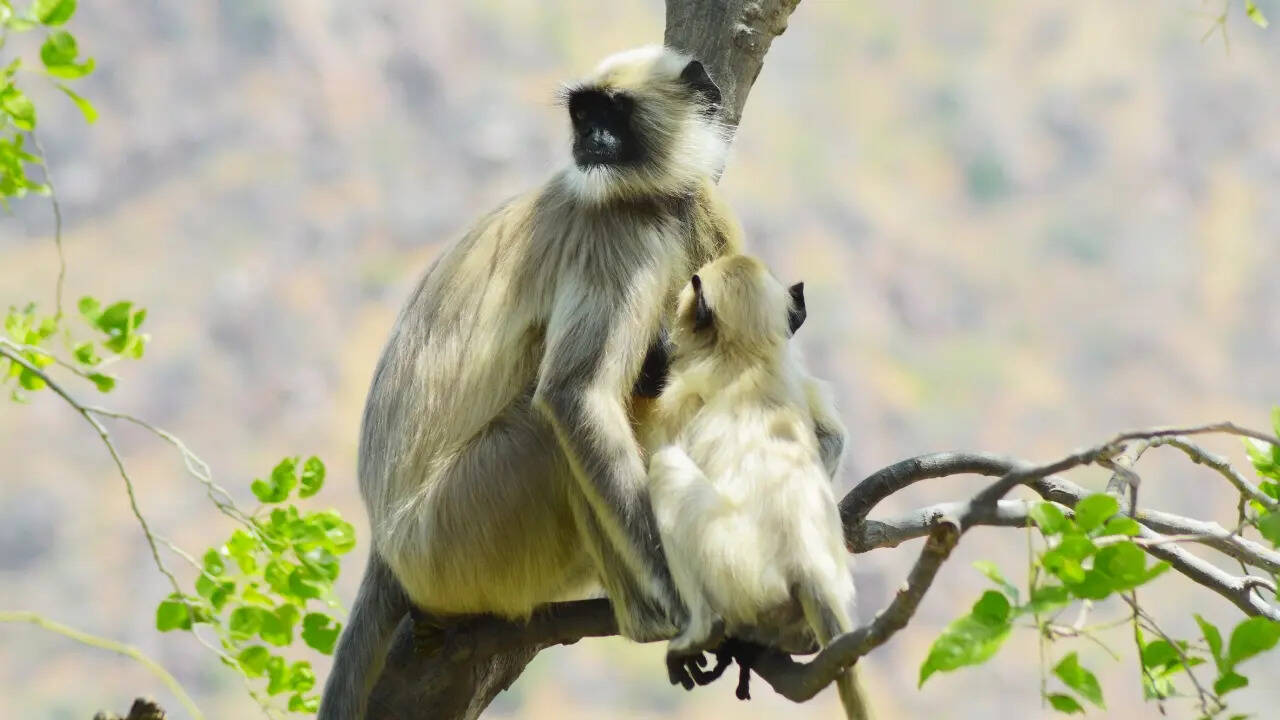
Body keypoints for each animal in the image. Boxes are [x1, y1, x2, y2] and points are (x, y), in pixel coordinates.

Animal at [319, 46, 751, 719]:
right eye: (585, 114)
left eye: (613, 115)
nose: (590, 141)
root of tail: (386, 549)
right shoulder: (620, 229)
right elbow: (574, 397)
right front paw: (687, 610)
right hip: (455, 537)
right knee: (553, 431)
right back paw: (648, 620)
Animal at [639, 254, 871, 719]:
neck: (747, 356)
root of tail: (808, 566)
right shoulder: (791, 370)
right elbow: (831, 437)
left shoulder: (682, 393)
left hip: (731, 561)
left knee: (665, 465)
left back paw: (703, 631)